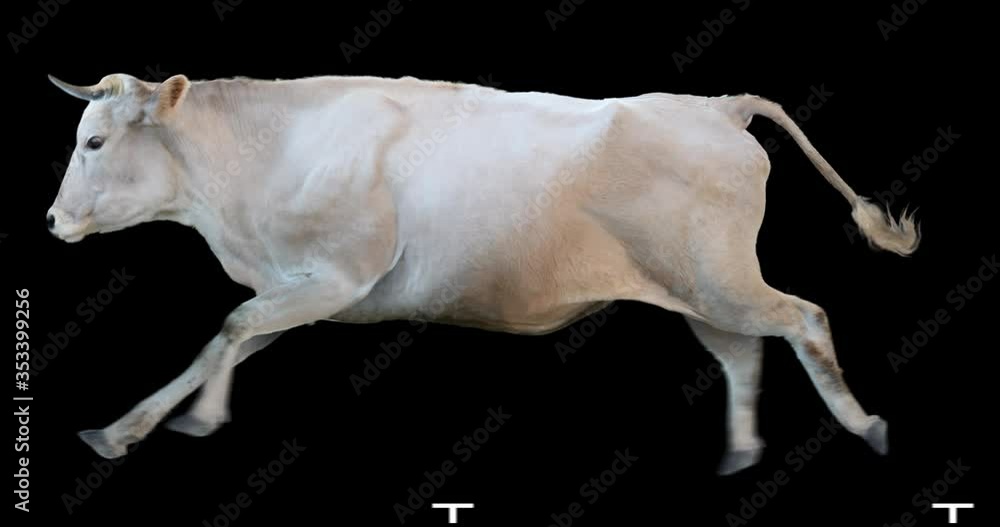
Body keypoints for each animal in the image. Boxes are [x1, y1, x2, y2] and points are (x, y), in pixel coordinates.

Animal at [46, 72, 919, 474]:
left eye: (94, 141)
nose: (52, 221)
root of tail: (716, 105)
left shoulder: (336, 276)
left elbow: (229, 328)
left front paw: (196, 418)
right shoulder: (297, 288)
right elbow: (223, 342)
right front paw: (122, 427)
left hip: (723, 280)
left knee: (805, 317)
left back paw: (865, 424)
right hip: (703, 291)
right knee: (744, 353)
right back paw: (741, 449)